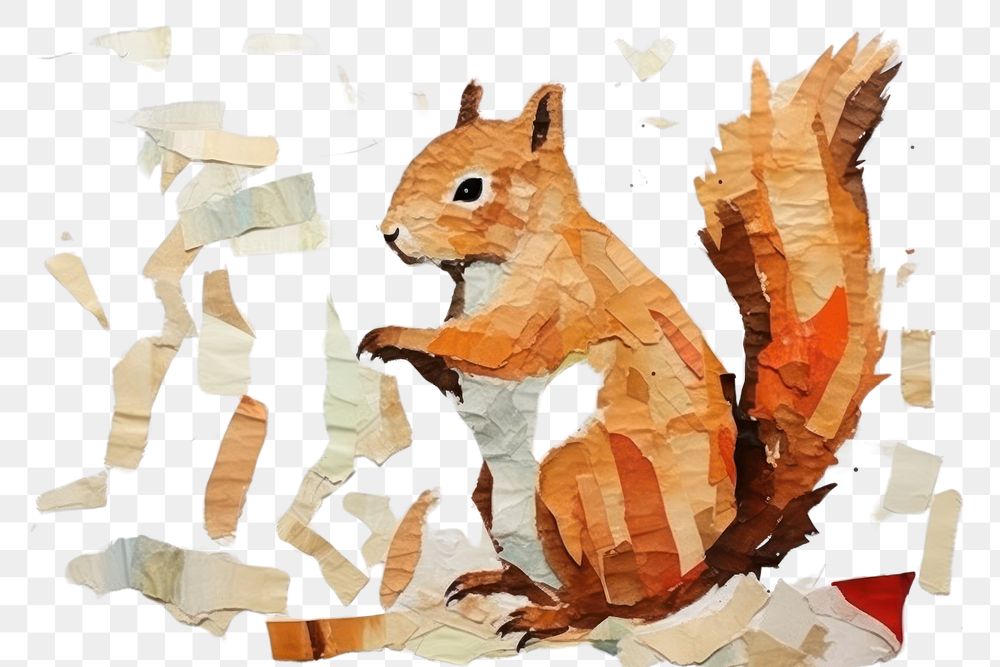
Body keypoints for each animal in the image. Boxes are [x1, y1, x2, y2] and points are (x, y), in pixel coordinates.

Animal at [360, 35, 899, 647]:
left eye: (470, 188)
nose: (389, 234)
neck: (508, 255)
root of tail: (707, 561)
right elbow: (454, 370)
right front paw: (399, 345)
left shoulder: (554, 302)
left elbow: (492, 345)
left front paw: (396, 333)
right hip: (494, 491)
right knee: (549, 578)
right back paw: (502, 581)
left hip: (579, 487)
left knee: (609, 603)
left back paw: (554, 616)